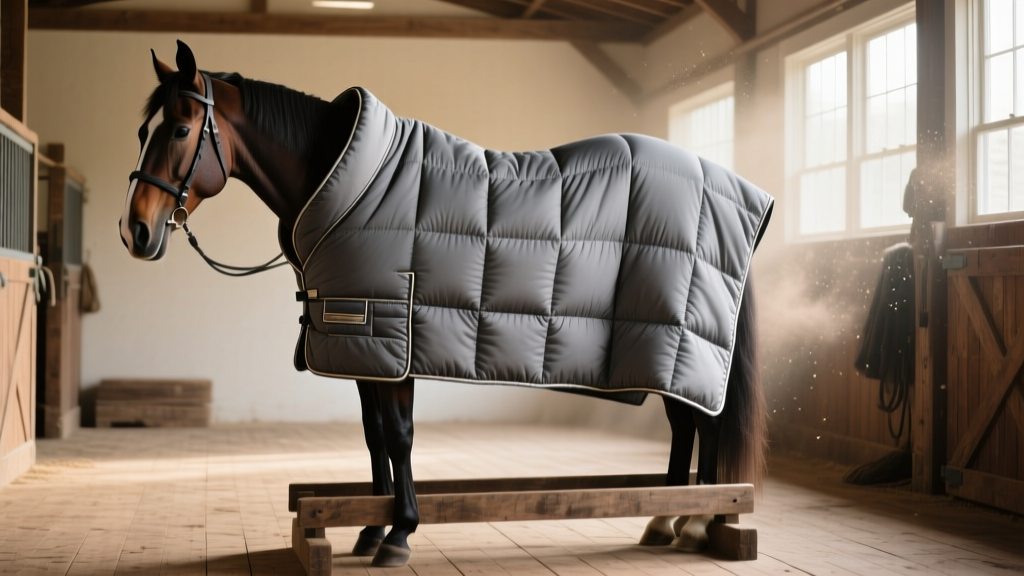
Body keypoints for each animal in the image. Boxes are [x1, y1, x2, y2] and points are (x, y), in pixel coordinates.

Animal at [119, 40, 769, 568]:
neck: (349, 188)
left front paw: (400, 534)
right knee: (685, 425)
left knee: (705, 424)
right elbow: (374, 436)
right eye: (142, 131)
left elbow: (400, 435)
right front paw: (370, 528)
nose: (135, 233)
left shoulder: (392, 336)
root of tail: (736, 190)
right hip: (671, 351)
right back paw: (665, 515)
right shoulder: (363, 347)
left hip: (680, 346)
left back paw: (701, 520)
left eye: (179, 132)